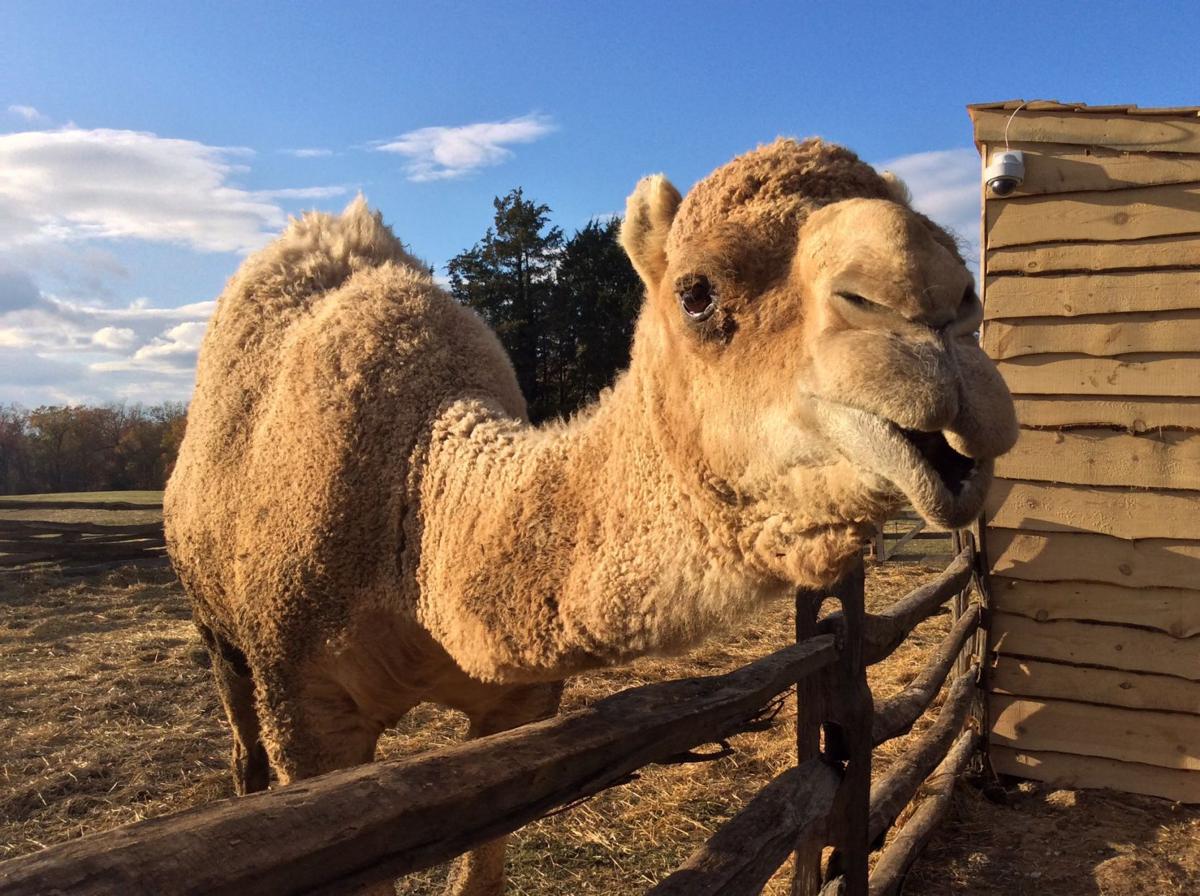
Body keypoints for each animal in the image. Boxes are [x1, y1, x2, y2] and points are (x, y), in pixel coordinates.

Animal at [164, 137, 1017, 895]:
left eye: (966, 276)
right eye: (697, 291)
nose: (938, 312)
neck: (421, 524)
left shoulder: (516, 708)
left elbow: (482, 874)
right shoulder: (310, 717)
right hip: (221, 633)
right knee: (242, 750)